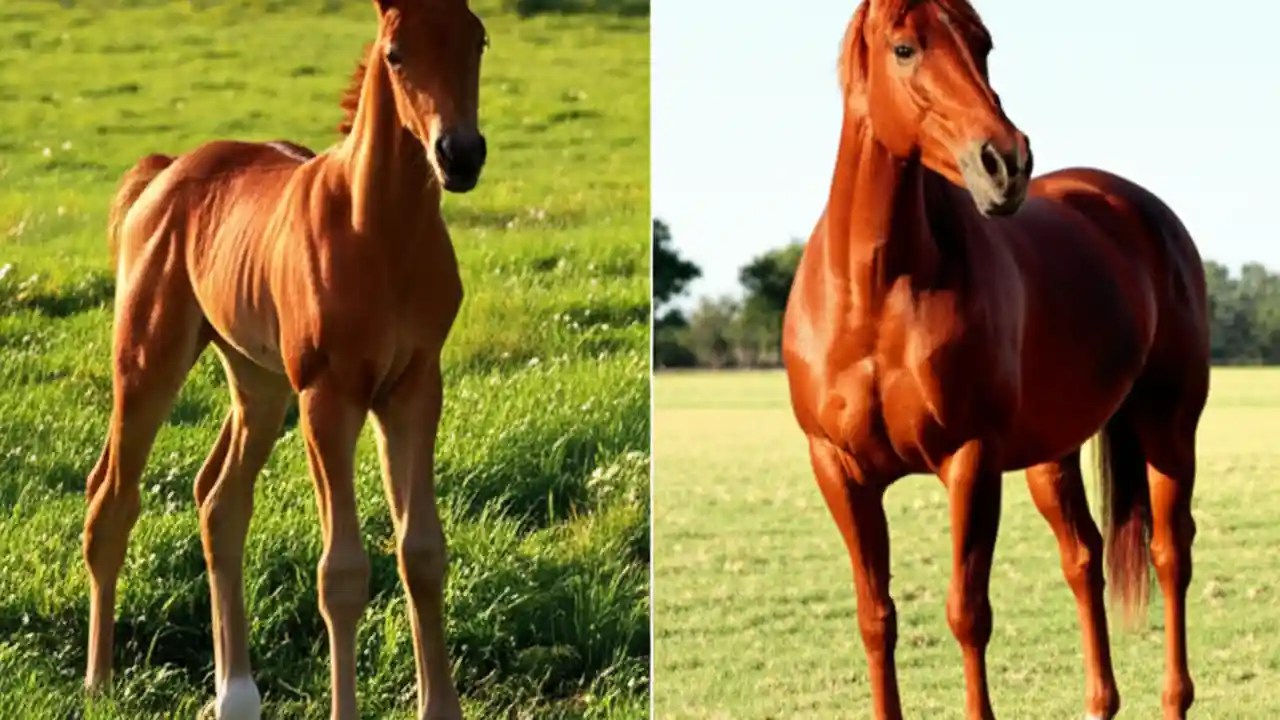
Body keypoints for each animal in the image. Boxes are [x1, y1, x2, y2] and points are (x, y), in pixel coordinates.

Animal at [80, 1, 488, 718]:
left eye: (480, 41)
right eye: (396, 54)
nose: (459, 154)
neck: (380, 234)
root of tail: (166, 170)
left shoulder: (413, 389)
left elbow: (422, 554)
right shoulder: (329, 395)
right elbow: (342, 573)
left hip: (260, 384)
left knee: (219, 502)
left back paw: (236, 693)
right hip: (148, 357)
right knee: (111, 499)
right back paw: (99, 682)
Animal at [781, 1, 1209, 718]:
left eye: (983, 46)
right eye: (904, 48)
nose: (1006, 161)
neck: (876, 292)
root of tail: (1141, 209)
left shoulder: (971, 460)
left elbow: (967, 614)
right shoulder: (838, 470)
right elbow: (875, 618)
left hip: (1168, 428)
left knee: (1170, 554)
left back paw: (1173, 697)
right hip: (1051, 457)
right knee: (1083, 559)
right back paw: (1099, 700)